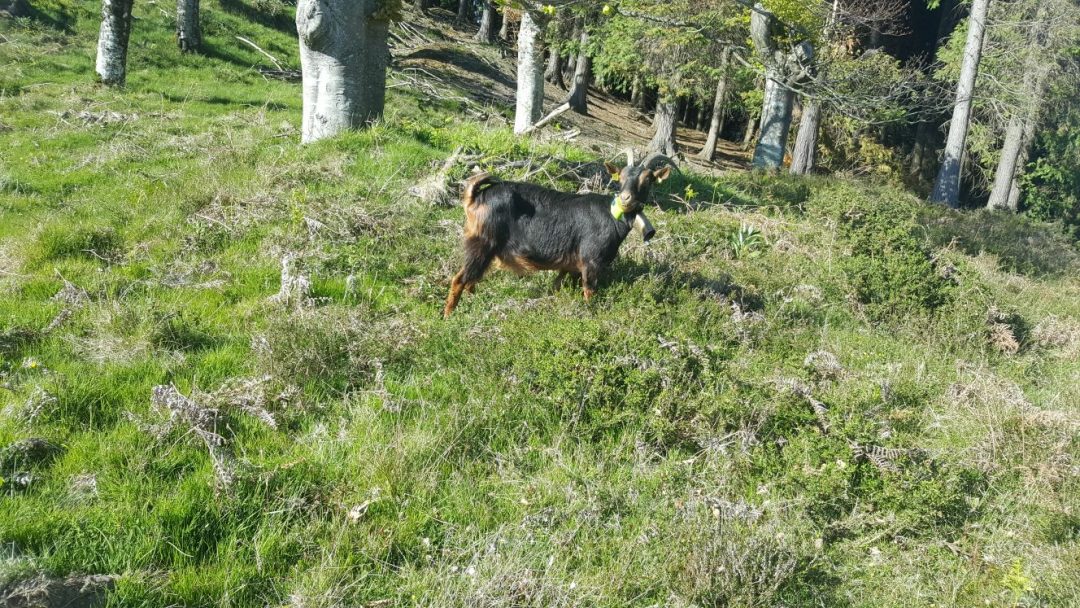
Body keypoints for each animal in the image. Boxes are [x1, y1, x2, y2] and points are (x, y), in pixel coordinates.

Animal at [443, 152, 677, 318]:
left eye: (648, 180)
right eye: (621, 177)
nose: (626, 199)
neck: (612, 215)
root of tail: (476, 196)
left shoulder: (569, 265)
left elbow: (556, 286)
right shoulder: (591, 261)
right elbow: (589, 292)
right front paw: (590, 314)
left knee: (472, 279)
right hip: (482, 242)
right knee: (460, 279)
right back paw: (449, 317)